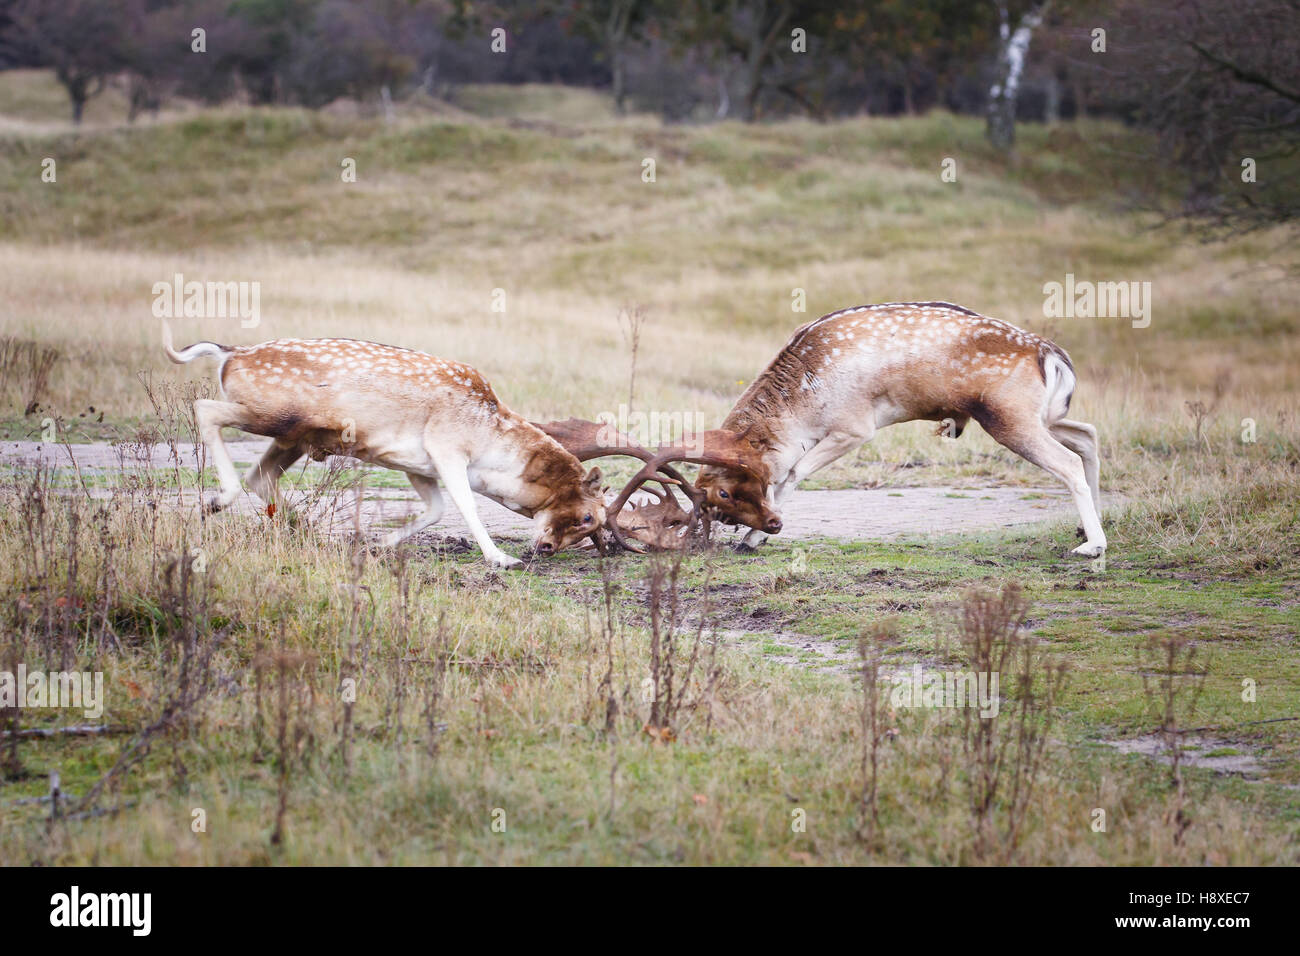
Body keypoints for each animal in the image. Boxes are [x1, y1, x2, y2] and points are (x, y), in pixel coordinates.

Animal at [161, 323, 606, 568]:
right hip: (274, 414)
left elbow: (436, 509)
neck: (491, 446)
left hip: (293, 437)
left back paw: (309, 533)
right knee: (206, 409)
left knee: (261, 475)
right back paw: (217, 500)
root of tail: (230, 355)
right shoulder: (446, 447)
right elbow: (465, 503)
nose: (546, 549)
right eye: (588, 517)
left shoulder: (417, 465)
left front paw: (377, 545)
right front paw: (501, 559)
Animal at [685, 302, 1106, 557]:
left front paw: (752, 540)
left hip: (1010, 418)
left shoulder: (854, 427)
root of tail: (1049, 353)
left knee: (1069, 461)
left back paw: (1093, 547)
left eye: (723, 491)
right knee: (1088, 436)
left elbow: (794, 471)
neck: (804, 405)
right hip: (1042, 416)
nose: (710, 528)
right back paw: (1088, 530)